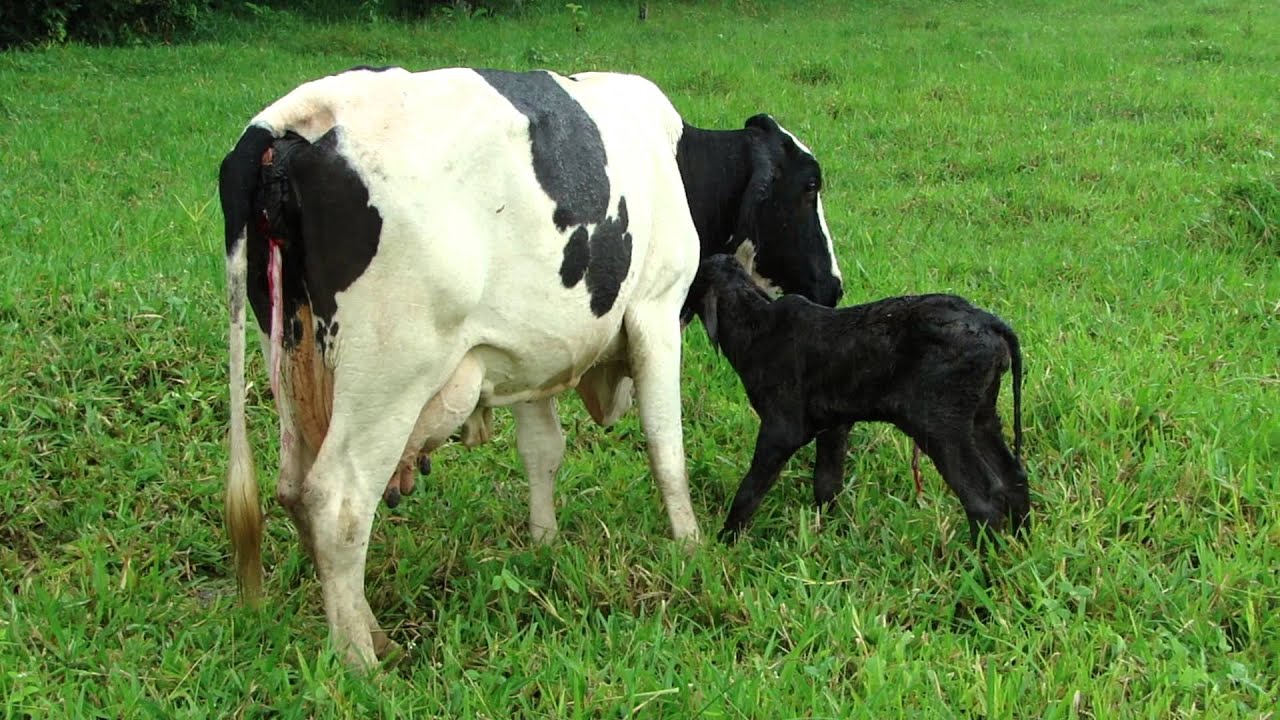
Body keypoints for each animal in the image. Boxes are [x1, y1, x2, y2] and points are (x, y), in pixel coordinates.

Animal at [218, 66, 842, 668]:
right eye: (809, 185)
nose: (834, 287)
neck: (676, 159)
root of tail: (297, 118)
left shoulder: (535, 352)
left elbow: (543, 451)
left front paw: (544, 543)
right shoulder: (656, 312)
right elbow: (667, 447)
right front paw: (691, 545)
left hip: (297, 368)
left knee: (295, 492)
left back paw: (375, 635)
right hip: (387, 382)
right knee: (337, 504)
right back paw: (360, 662)